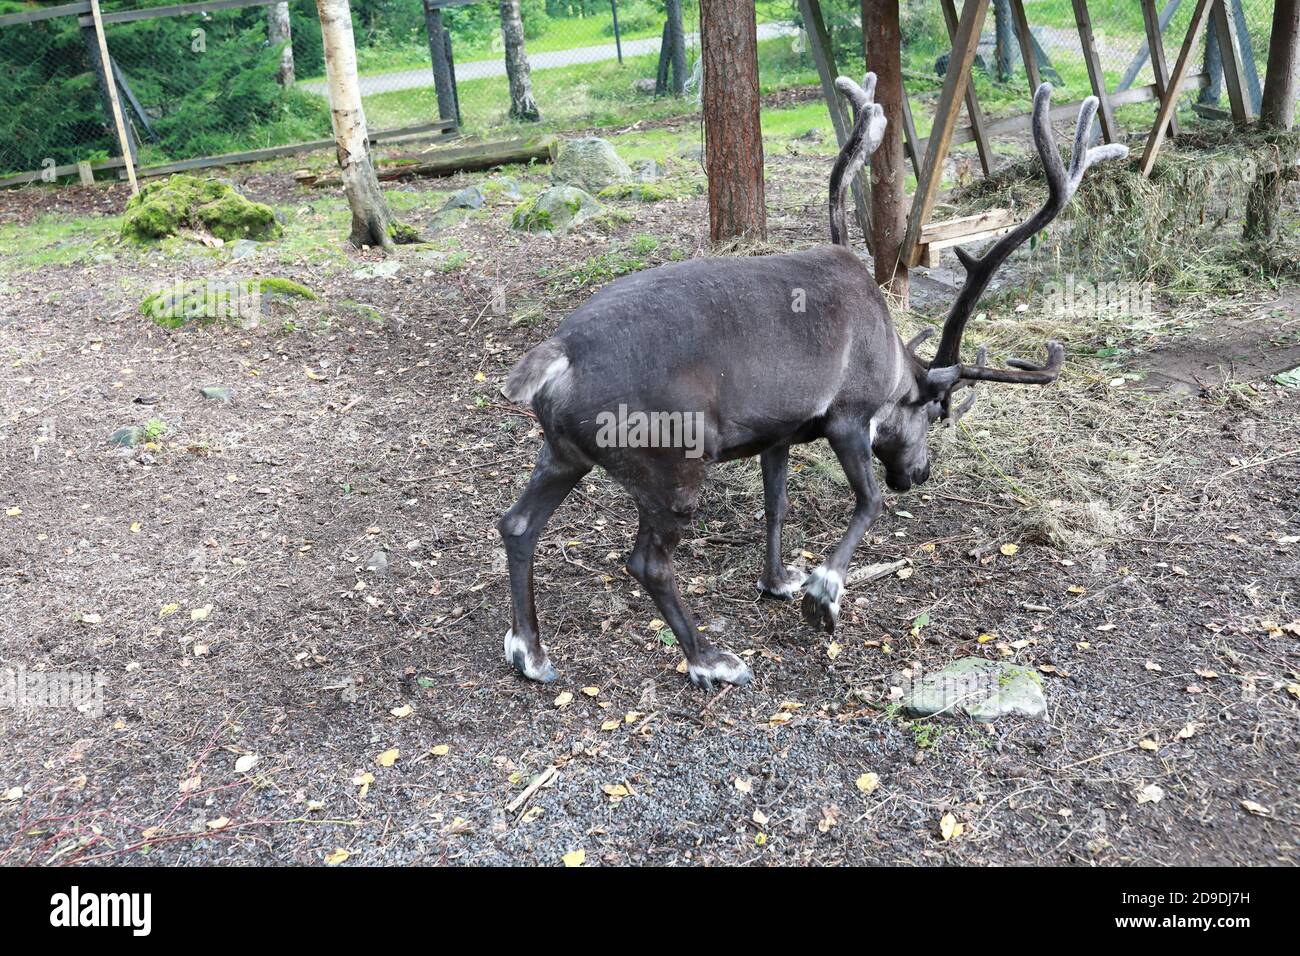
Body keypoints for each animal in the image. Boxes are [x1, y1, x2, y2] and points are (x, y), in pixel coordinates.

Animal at [497, 76, 1127, 689]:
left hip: (564, 451)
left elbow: (776, 504)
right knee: (649, 563)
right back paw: (710, 660)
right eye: (934, 413)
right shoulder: (846, 417)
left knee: (517, 524)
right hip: (673, 464)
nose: (920, 474)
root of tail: (559, 354)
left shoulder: (776, 432)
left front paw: (779, 580)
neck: (891, 363)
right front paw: (824, 591)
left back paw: (530, 652)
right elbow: (868, 500)